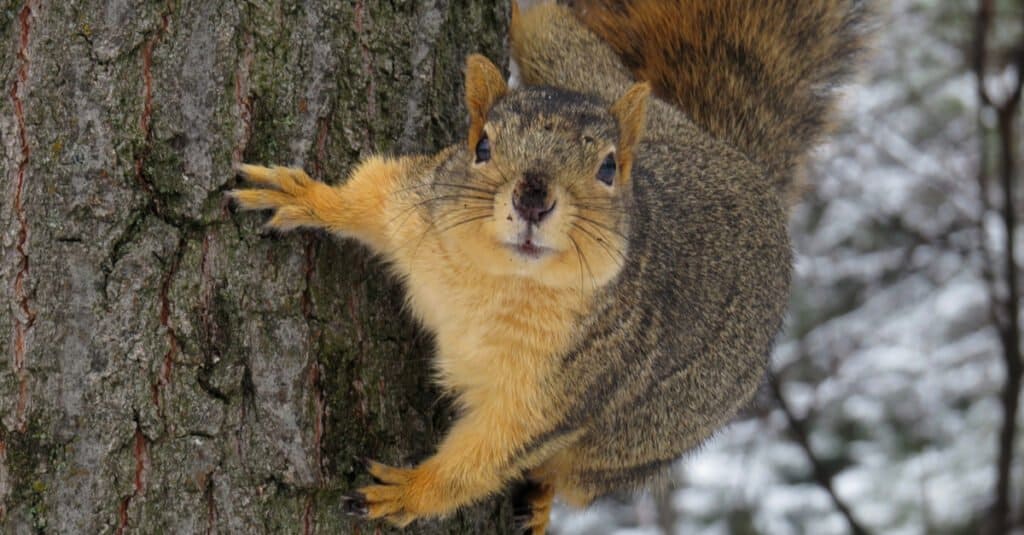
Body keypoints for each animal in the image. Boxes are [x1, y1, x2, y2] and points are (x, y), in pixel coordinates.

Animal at [229, 0, 871, 533]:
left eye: (608, 168)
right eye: (481, 145)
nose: (532, 197)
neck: (500, 277)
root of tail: (749, 173)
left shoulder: (562, 390)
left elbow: (493, 451)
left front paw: (410, 493)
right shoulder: (417, 211)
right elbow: (371, 197)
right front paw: (308, 198)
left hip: (633, 443)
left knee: (569, 477)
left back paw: (540, 504)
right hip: (582, 69)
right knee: (554, 31)